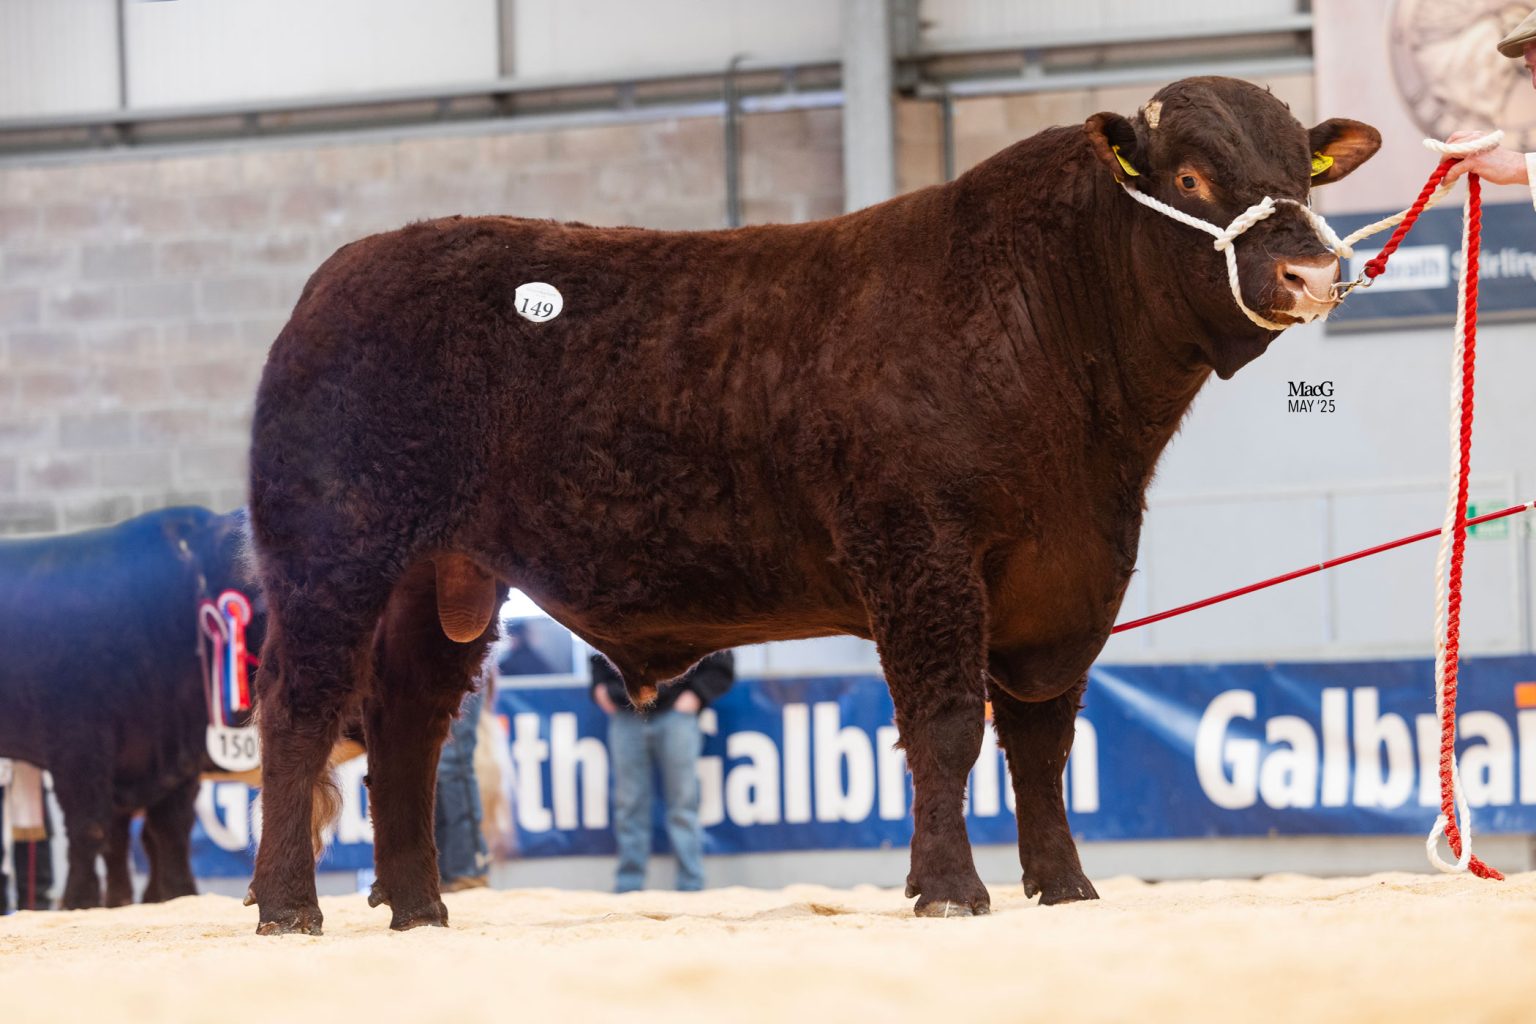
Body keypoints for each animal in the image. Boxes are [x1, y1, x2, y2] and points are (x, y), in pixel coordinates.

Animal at [0, 506, 261, 909]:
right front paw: (79, 902)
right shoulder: (78, 743)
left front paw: (178, 895)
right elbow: (90, 827)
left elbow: (170, 831)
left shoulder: (176, 755)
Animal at [245, 76, 1380, 934]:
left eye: (1298, 173)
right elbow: (947, 727)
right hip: (331, 558)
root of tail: (337, 276)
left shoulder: (1068, 580)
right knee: (299, 713)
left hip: (441, 582)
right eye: (1191, 176)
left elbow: (1043, 739)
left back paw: (421, 910)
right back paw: (290, 906)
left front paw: (1065, 887)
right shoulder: (921, 553)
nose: (1312, 269)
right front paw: (952, 890)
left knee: (405, 727)